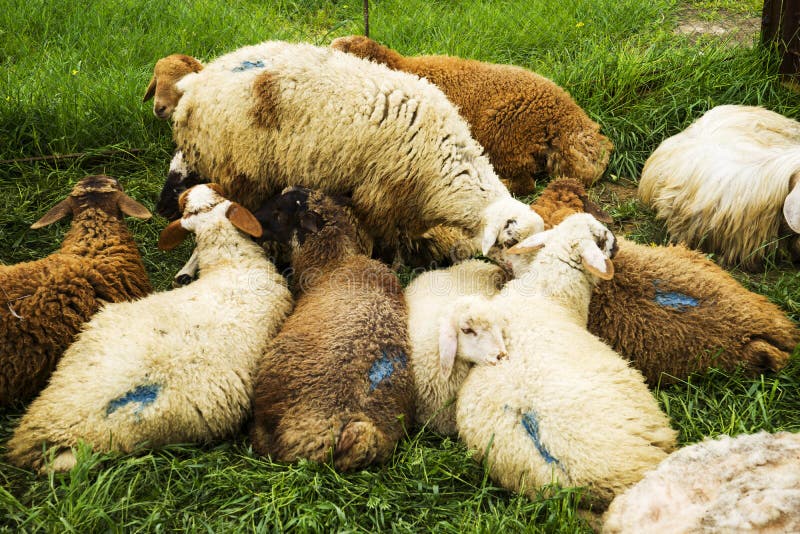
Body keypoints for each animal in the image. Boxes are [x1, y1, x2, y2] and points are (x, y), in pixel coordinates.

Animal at [148, 41, 544, 267]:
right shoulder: (380, 197)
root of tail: (197, 82)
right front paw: (396, 265)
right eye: (510, 242)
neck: (445, 170)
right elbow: (386, 243)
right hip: (241, 167)